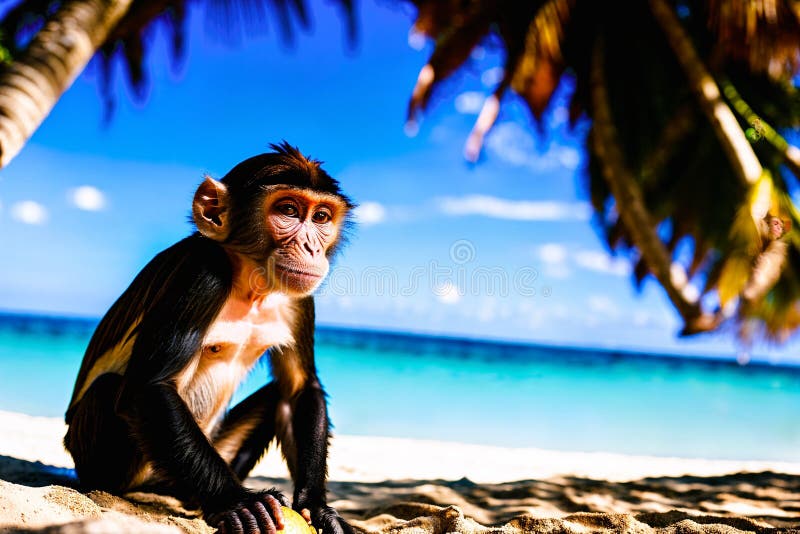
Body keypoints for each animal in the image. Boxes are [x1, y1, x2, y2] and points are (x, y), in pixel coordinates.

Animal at [63, 143, 355, 534]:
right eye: (288, 211)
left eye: (321, 217)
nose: (311, 248)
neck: (250, 284)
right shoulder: (202, 273)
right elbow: (150, 388)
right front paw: (238, 502)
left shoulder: (299, 298)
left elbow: (299, 388)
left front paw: (317, 507)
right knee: (108, 388)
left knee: (278, 394)